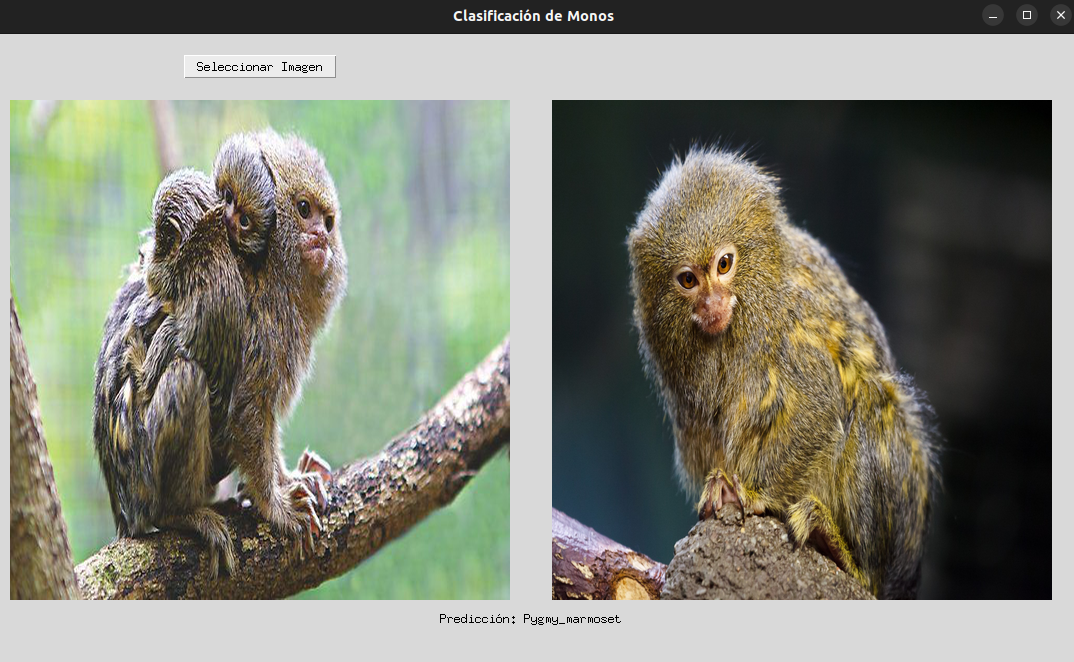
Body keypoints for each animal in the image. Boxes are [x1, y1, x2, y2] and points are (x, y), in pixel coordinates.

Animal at [627, 147, 939, 599]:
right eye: (687, 280)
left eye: (725, 264)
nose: (711, 304)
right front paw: (721, 484)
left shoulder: (794, 331)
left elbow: (818, 408)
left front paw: (754, 494)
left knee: (871, 401)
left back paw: (845, 554)